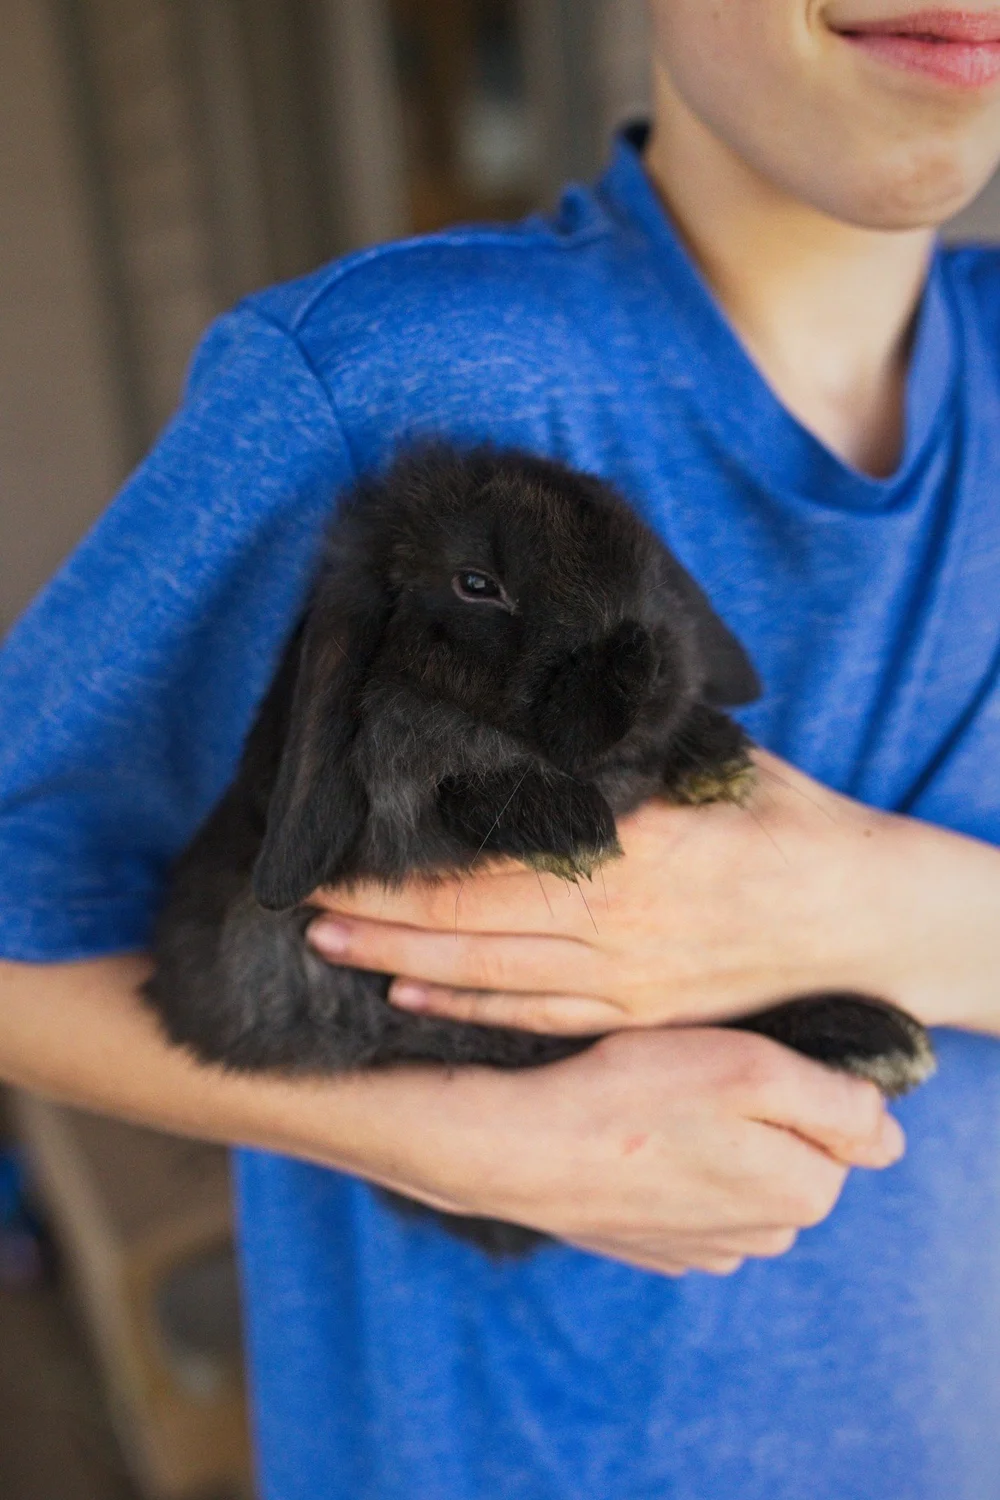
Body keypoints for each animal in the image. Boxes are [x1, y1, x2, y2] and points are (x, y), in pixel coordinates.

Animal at [144, 445, 934, 1255]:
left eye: (649, 574)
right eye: (474, 584)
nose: (645, 672)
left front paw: (713, 757)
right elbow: (438, 762)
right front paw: (571, 829)